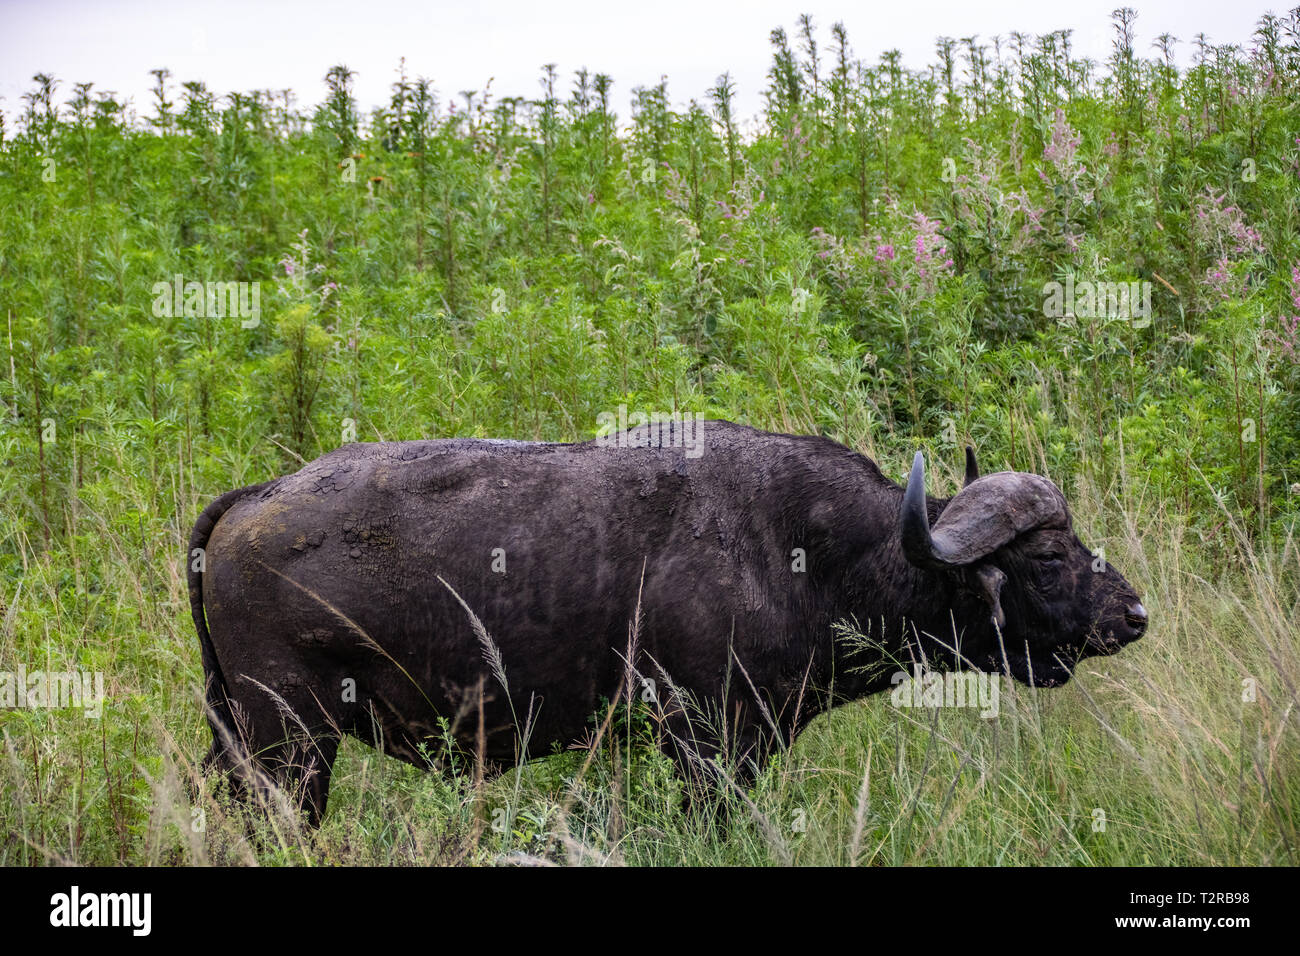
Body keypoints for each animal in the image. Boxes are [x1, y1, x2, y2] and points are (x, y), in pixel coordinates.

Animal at [188, 420, 1146, 823]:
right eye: (1046, 557)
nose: (1133, 612)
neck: (806, 552)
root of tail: (254, 499)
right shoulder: (711, 747)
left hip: (241, 737)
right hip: (292, 744)